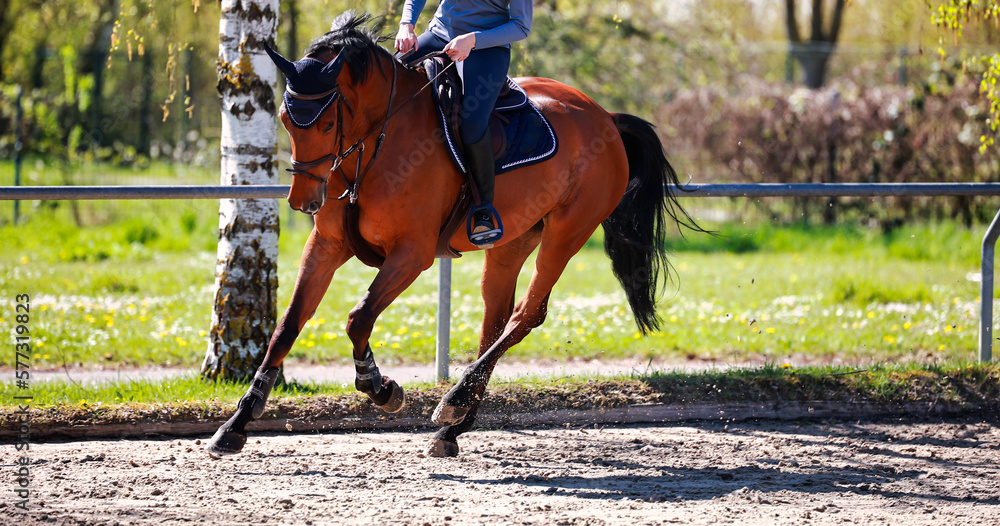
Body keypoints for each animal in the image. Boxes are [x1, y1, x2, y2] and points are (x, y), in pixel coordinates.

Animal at [207, 11, 698, 458]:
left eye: (327, 125)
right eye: (285, 119)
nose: (302, 201)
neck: (378, 139)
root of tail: (605, 117)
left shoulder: (412, 252)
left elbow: (359, 317)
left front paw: (380, 387)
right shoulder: (327, 245)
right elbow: (287, 326)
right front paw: (236, 424)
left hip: (567, 233)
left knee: (526, 315)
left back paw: (453, 401)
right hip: (514, 241)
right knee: (496, 319)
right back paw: (454, 425)